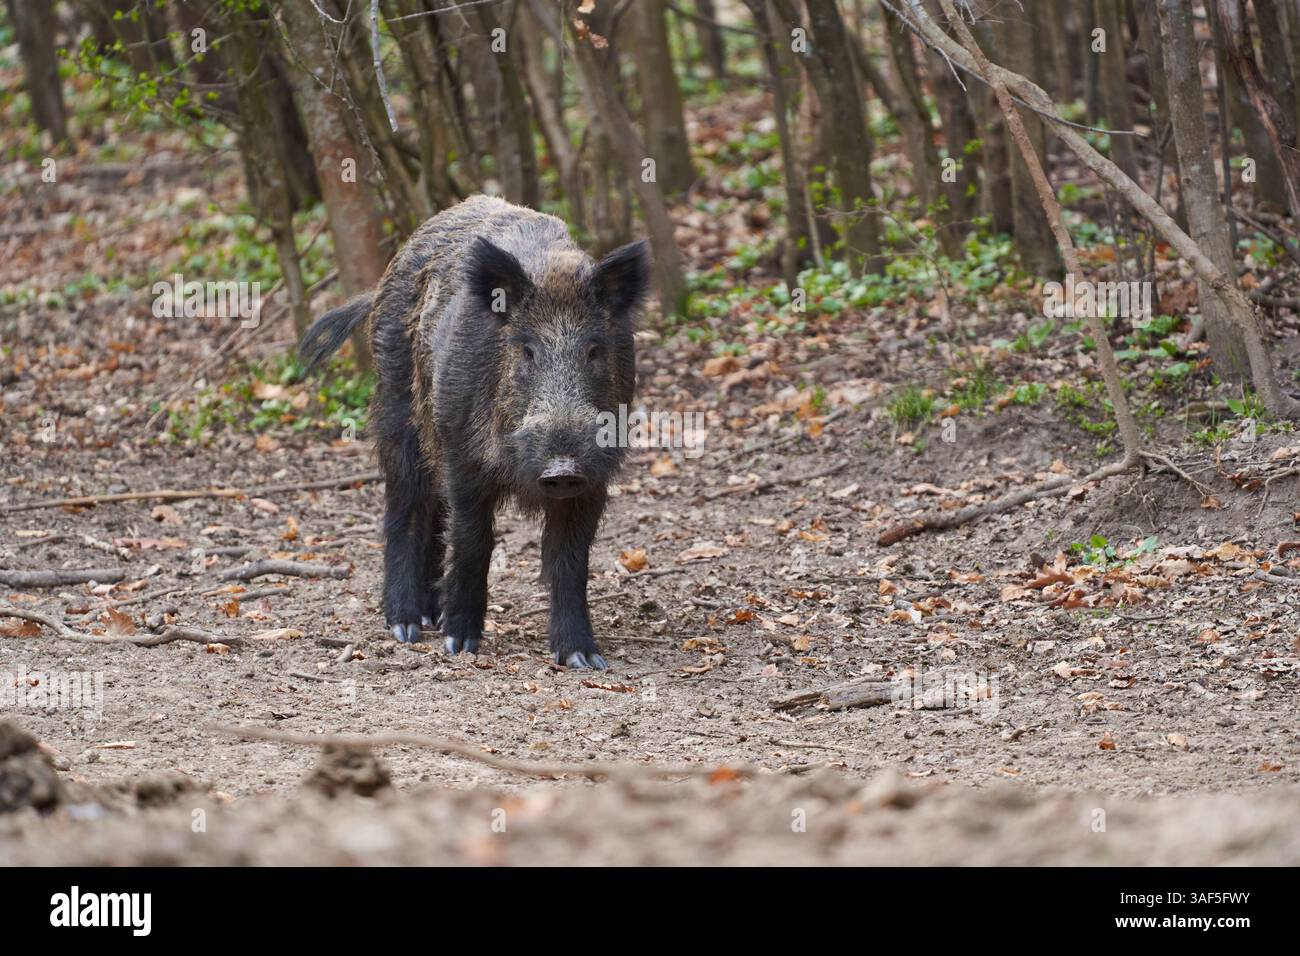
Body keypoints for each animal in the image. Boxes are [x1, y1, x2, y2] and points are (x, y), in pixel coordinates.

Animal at [299, 196, 650, 669]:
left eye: (594, 349)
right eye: (526, 350)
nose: (561, 468)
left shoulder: (593, 477)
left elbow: (572, 560)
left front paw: (582, 659)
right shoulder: (463, 455)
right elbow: (472, 541)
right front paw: (459, 643)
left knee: (432, 511)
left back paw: (428, 617)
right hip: (400, 412)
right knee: (405, 505)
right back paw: (406, 627)